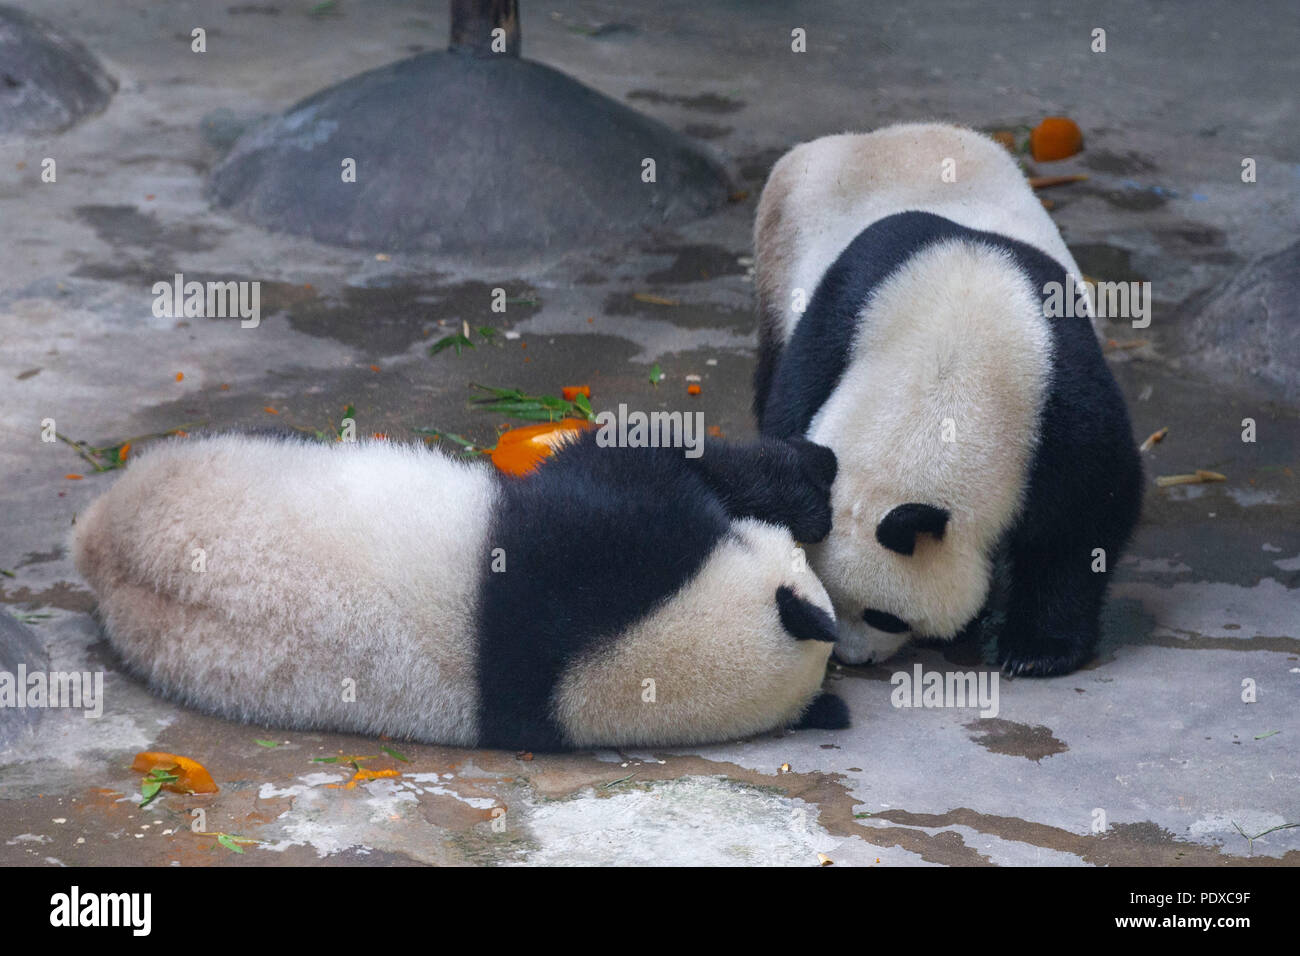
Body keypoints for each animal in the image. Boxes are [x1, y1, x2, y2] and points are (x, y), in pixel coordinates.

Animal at [753, 122, 1142, 676]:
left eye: (884, 615)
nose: (852, 658)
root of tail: (882, 133)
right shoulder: (838, 326)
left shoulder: (1058, 396)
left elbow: (1084, 515)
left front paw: (1035, 650)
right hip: (780, 259)